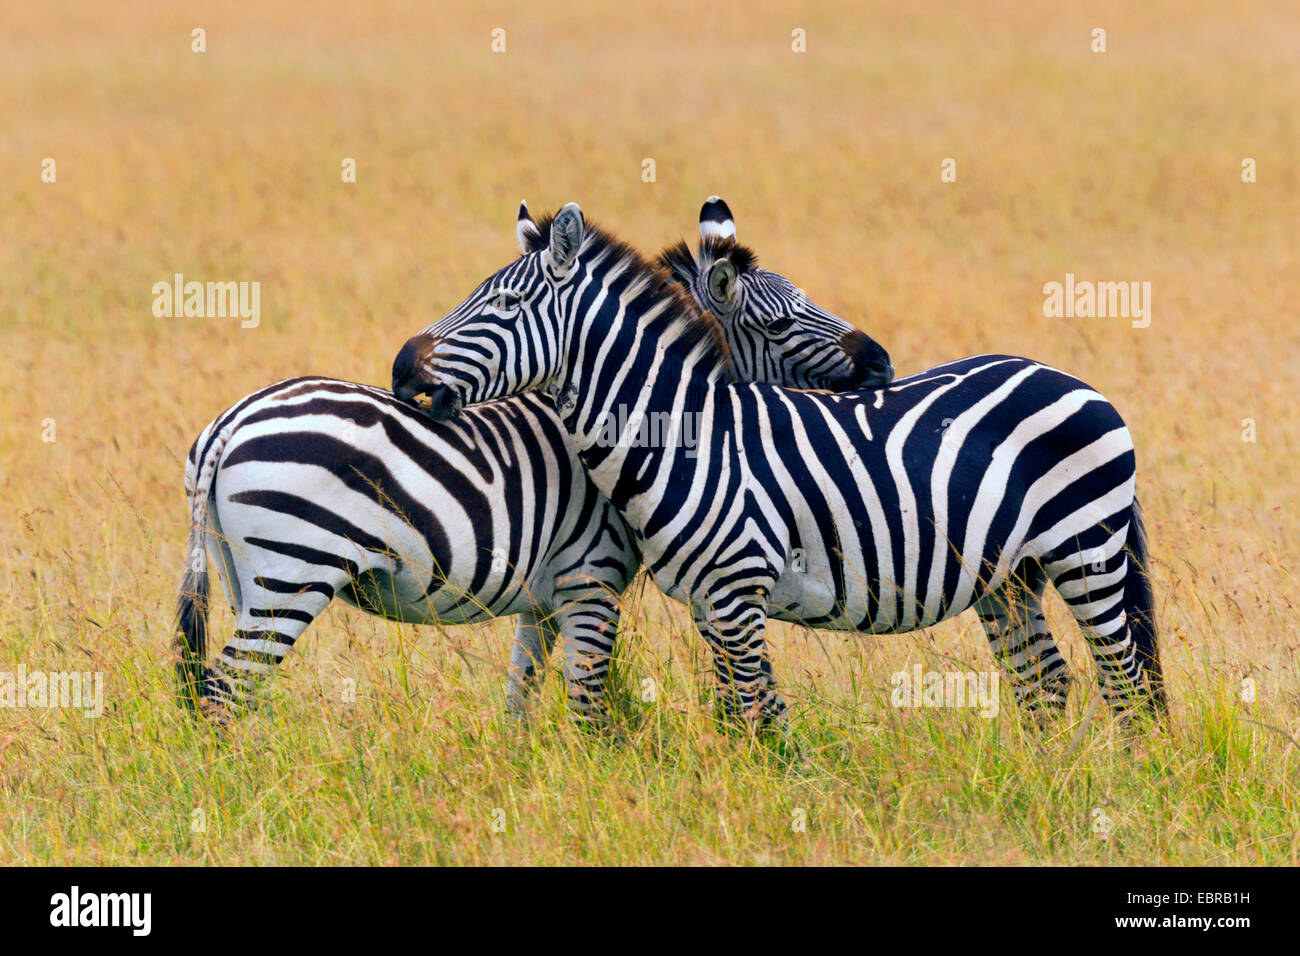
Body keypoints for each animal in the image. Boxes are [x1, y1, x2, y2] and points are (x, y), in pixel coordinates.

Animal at [173, 201, 891, 720]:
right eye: (780, 325)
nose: (883, 362)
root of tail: (228, 424)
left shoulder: (540, 601)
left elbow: (519, 702)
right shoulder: (591, 579)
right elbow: (590, 708)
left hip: (246, 579)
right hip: (291, 576)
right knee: (222, 694)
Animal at [391, 201, 1167, 727]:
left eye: (504, 303)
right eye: (780, 321)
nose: (401, 368)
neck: (690, 435)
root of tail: (1071, 380)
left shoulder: (738, 592)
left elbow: (761, 713)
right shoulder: (708, 601)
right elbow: (736, 711)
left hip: (1086, 551)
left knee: (1126, 678)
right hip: (1011, 574)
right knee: (1048, 681)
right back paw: (1045, 782)